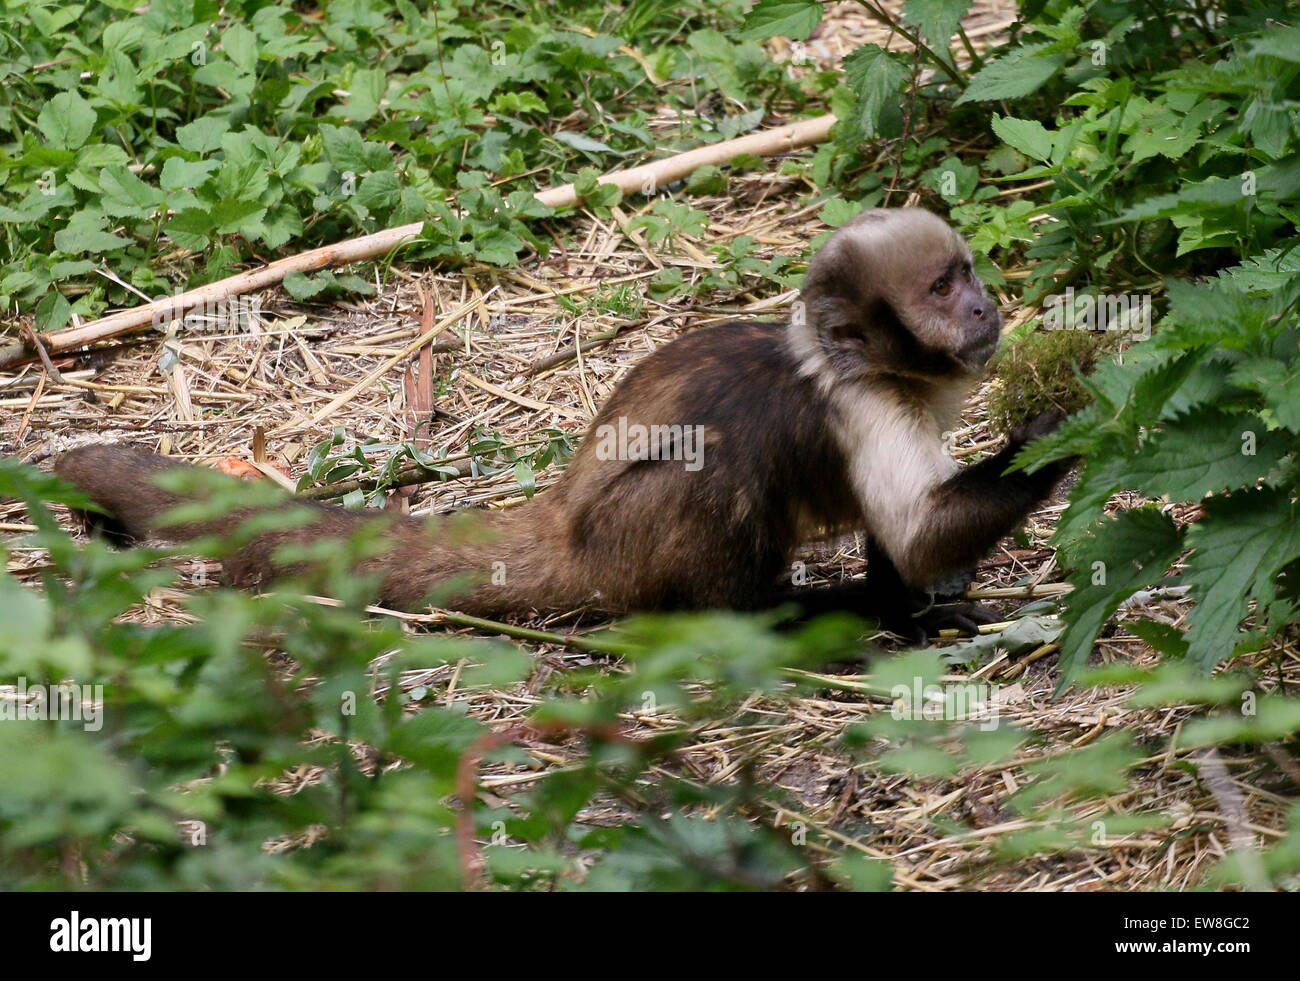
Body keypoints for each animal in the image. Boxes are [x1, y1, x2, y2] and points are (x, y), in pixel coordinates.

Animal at [51, 208, 1072, 642]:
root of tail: (565, 526)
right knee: (711, 477)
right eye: (939, 288)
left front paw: (915, 607)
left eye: (967, 273)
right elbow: (918, 527)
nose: (982, 307)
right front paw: (1066, 422)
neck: (874, 367)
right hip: (632, 542)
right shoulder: (863, 404)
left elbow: (904, 536)